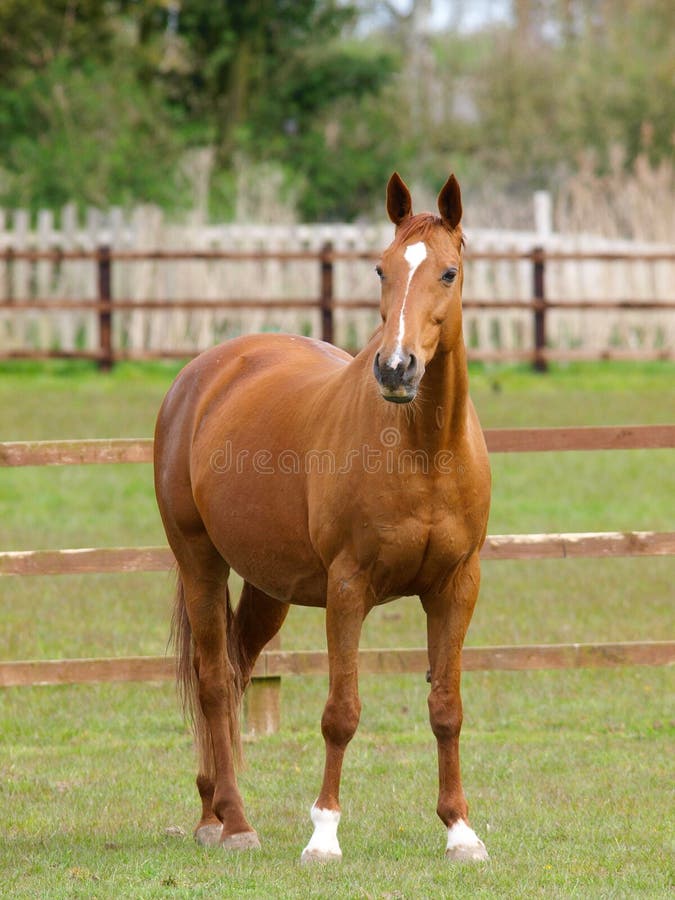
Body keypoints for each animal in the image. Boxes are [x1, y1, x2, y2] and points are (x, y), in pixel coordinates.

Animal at [154, 171, 491, 863]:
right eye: (382, 268)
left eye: (448, 272)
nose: (396, 368)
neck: (424, 450)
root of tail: (201, 375)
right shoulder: (348, 588)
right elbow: (341, 713)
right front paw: (324, 835)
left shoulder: (456, 586)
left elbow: (446, 707)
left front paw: (460, 830)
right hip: (200, 561)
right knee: (211, 680)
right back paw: (236, 820)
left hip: (266, 587)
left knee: (234, 675)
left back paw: (211, 808)